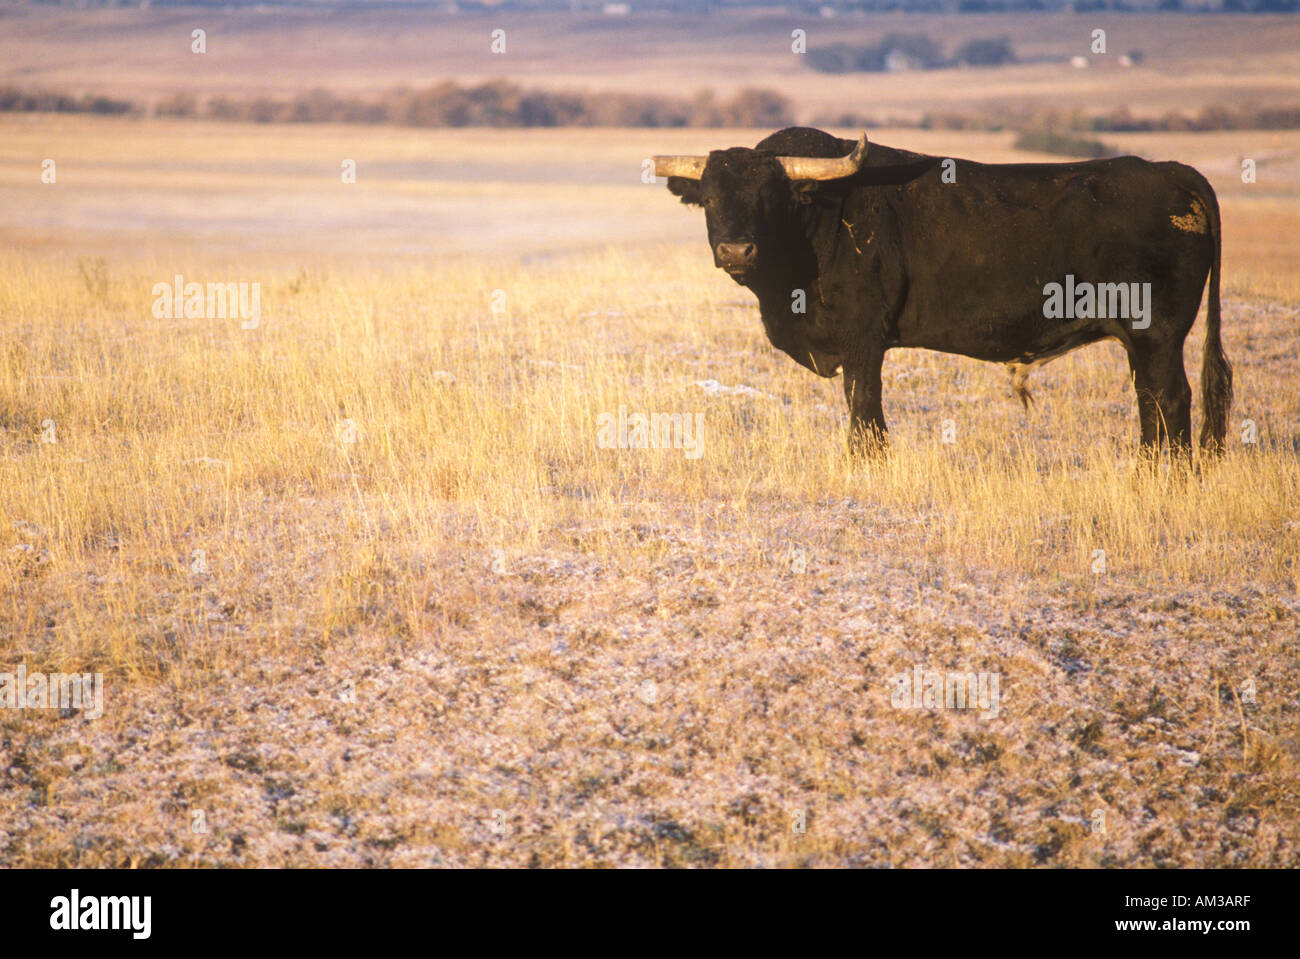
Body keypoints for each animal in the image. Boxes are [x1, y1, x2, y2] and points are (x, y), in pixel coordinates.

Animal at [653, 127, 1232, 458]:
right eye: (709, 198)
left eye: (769, 196)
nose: (736, 250)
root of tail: (1169, 171)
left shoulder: (864, 338)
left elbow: (864, 409)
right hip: (1141, 342)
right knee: (1151, 403)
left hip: (1157, 335)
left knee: (1171, 400)